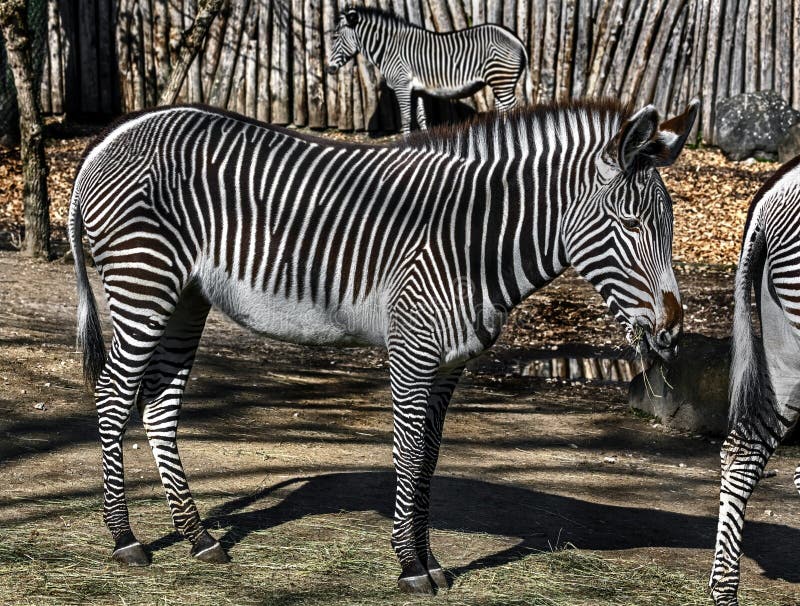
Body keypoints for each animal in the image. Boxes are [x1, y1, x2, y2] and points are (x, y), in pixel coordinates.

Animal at [69, 98, 698, 594]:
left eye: (668, 229)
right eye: (630, 225)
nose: (672, 332)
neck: (474, 242)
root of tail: (113, 136)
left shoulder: (448, 366)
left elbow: (430, 460)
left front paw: (431, 561)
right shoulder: (412, 352)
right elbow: (410, 455)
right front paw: (410, 566)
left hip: (185, 298)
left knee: (158, 407)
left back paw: (198, 536)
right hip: (143, 284)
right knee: (113, 398)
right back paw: (125, 539)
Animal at [326, 6, 529, 135]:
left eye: (335, 37)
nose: (328, 69)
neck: (388, 49)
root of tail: (515, 38)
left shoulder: (402, 86)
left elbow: (406, 118)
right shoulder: (417, 90)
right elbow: (421, 118)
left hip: (502, 80)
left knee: (516, 109)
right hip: (500, 83)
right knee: (504, 111)